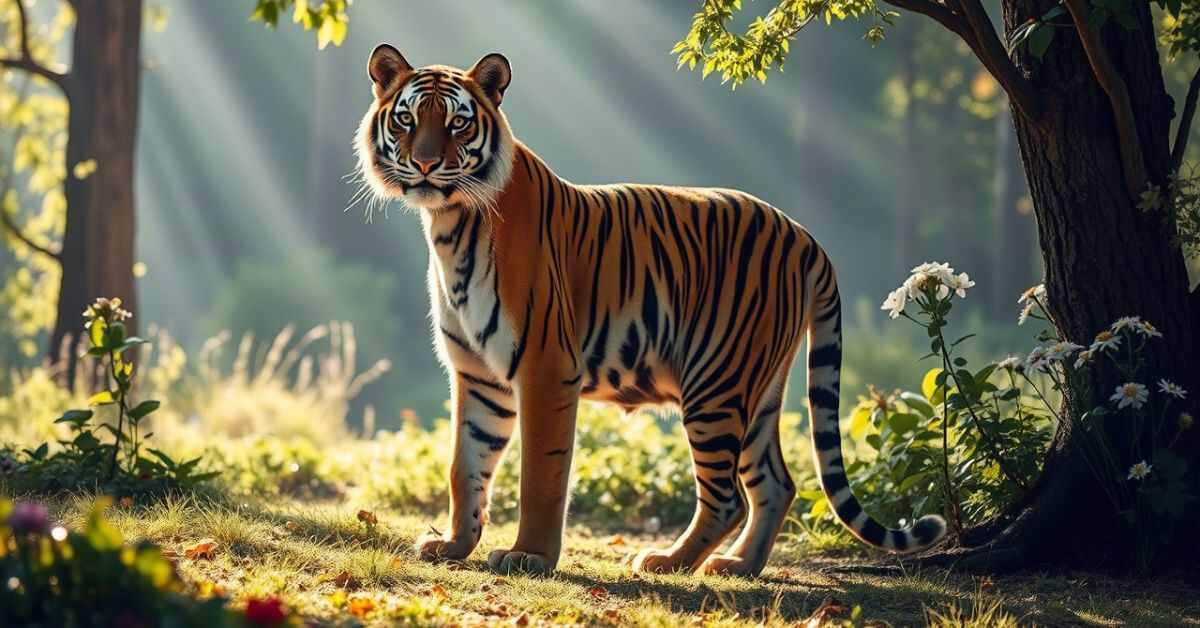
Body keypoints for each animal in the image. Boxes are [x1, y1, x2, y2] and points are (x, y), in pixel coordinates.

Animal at [355, 44, 946, 577]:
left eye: (457, 124)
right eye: (407, 119)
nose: (426, 163)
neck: (449, 223)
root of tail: (804, 236)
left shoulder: (546, 367)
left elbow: (540, 474)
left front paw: (531, 557)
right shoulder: (479, 374)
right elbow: (465, 465)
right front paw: (454, 546)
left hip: (716, 381)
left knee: (727, 496)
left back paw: (668, 560)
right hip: (760, 388)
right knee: (777, 483)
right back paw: (737, 566)